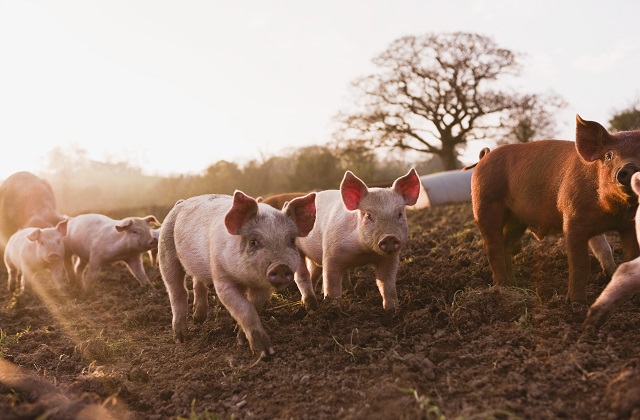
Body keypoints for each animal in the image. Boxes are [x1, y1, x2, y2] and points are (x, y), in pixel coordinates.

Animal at [159, 191, 316, 356]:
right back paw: (181, 339)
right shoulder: (222, 278)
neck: (245, 279)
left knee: (198, 282)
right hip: (165, 252)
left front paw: (240, 339)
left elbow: (254, 306)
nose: (281, 266)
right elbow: (244, 308)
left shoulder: (262, 287)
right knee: (177, 292)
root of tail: (181, 203)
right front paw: (265, 352)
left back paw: (199, 320)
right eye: (253, 241)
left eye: (291, 240)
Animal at [293, 168, 421, 312]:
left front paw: (392, 310)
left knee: (313, 273)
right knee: (302, 276)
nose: (389, 237)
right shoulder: (331, 255)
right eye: (368, 215)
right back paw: (309, 305)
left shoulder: (390, 259)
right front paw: (334, 308)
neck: (364, 253)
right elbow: (332, 285)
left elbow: (387, 285)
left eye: (399, 214)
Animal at [470, 115, 640, 304]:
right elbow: (580, 264)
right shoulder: (573, 220)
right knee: (493, 247)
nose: (630, 167)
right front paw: (576, 303)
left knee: (506, 245)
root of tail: (484, 158)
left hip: (517, 220)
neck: (611, 212)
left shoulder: (629, 225)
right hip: (485, 205)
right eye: (609, 155)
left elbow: (627, 256)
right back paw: (502, 287)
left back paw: (514, 285)